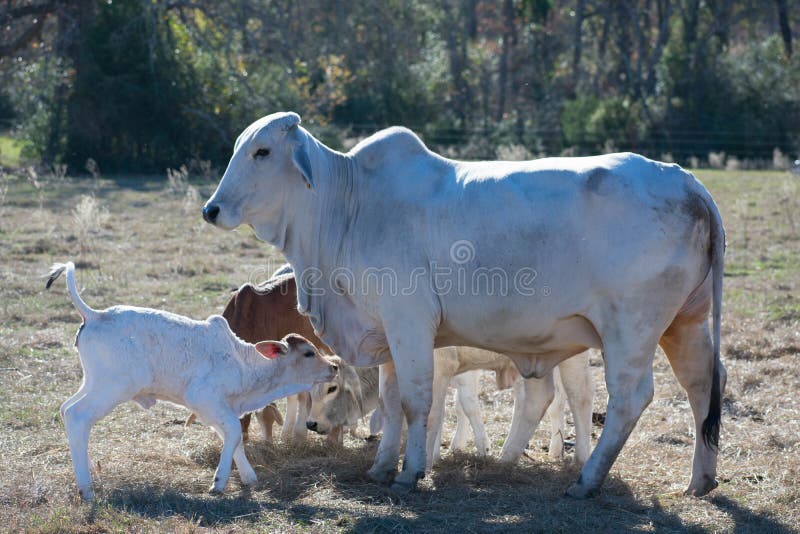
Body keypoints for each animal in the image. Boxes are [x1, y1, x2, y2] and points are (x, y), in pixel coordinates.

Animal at [202, 112, 726, 497]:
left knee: (629, 397)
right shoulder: (386, 333)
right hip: (686, 323)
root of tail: (687, 182)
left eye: (262, 151)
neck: (349, 207)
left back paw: (587, 479)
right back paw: (699, 480)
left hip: (630, 330)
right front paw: (380, 468)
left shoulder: (410, 324)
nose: (211, 209)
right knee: (703, 385)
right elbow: (390, 402)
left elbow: (416, 402)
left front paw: (411, 471)